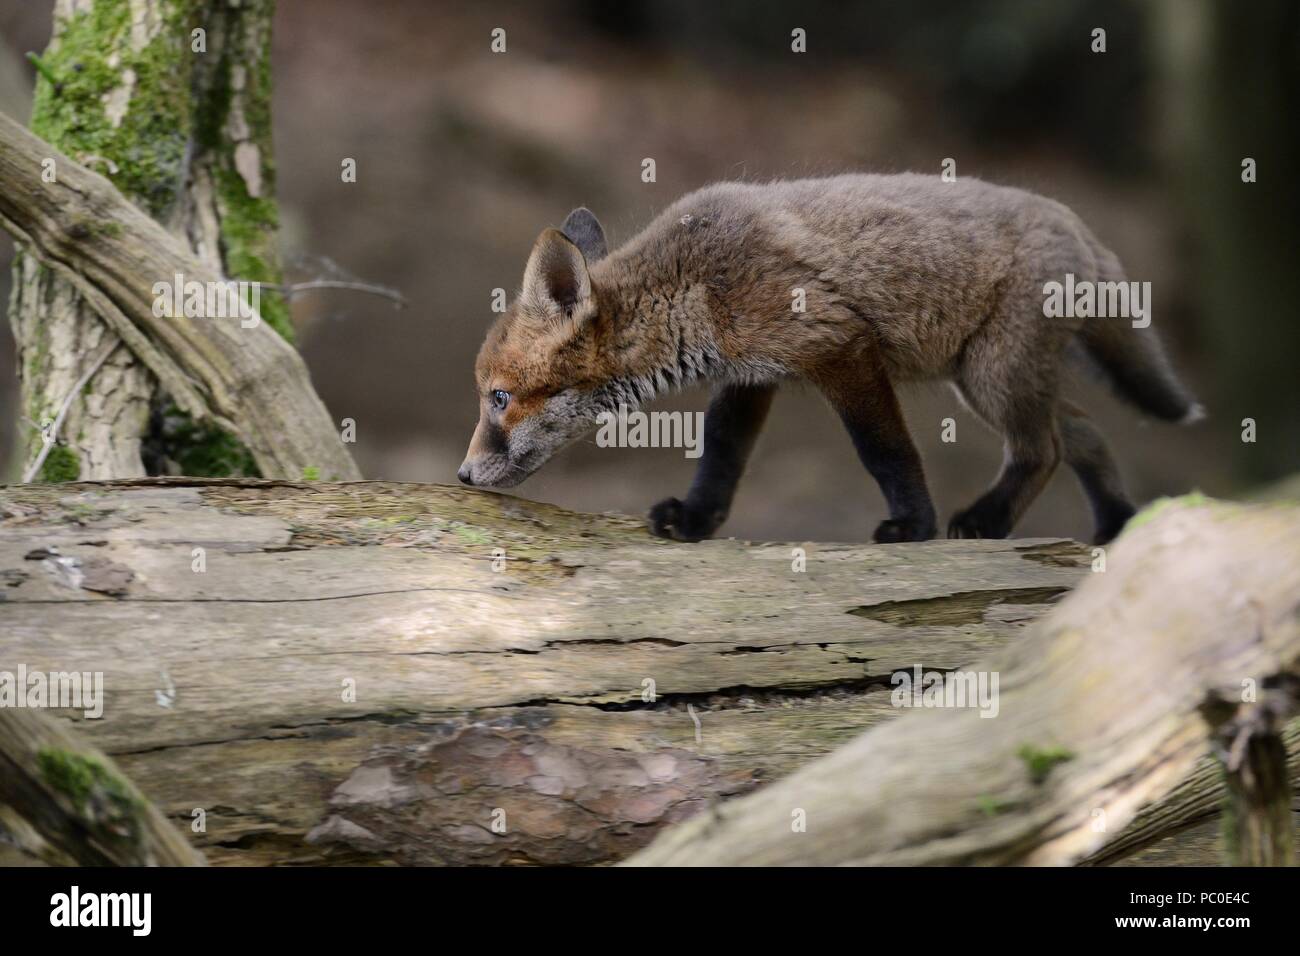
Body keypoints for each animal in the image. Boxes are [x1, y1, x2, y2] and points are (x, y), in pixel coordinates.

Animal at [458, 174, 1201, 545]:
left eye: (499, 398)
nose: (462, 476)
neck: (695, 281)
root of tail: (1076, 222)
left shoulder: (840, 347)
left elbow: (885, 452)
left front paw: (914, 526)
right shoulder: (751, 374)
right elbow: (721, 457)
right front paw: (697, 522)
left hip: (991, 380)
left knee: (1043, 448)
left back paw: (985, 523)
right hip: (990, 379)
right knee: (1083, 430)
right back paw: (1116, 525)